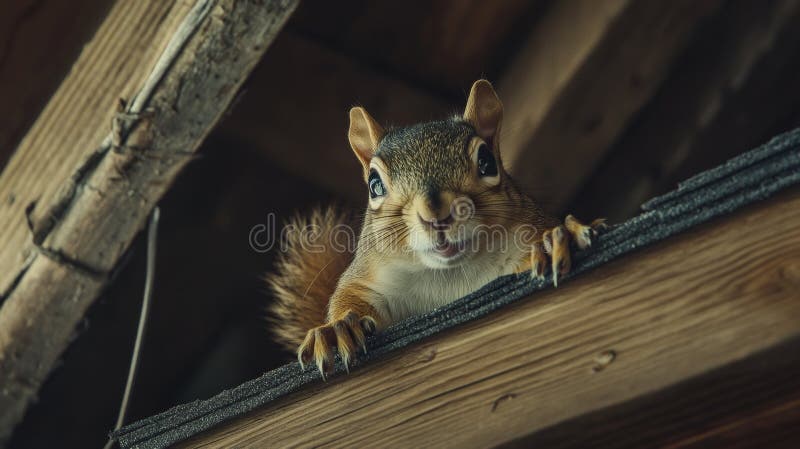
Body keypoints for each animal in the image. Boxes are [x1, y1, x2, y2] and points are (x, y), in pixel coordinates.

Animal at [266, 80, 605, 377]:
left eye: (487, 161)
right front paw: (337, 329)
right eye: (374, 184)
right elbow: (349, 297)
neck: (451, 273)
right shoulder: (370, 278)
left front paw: (555, 240)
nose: (435, 214)